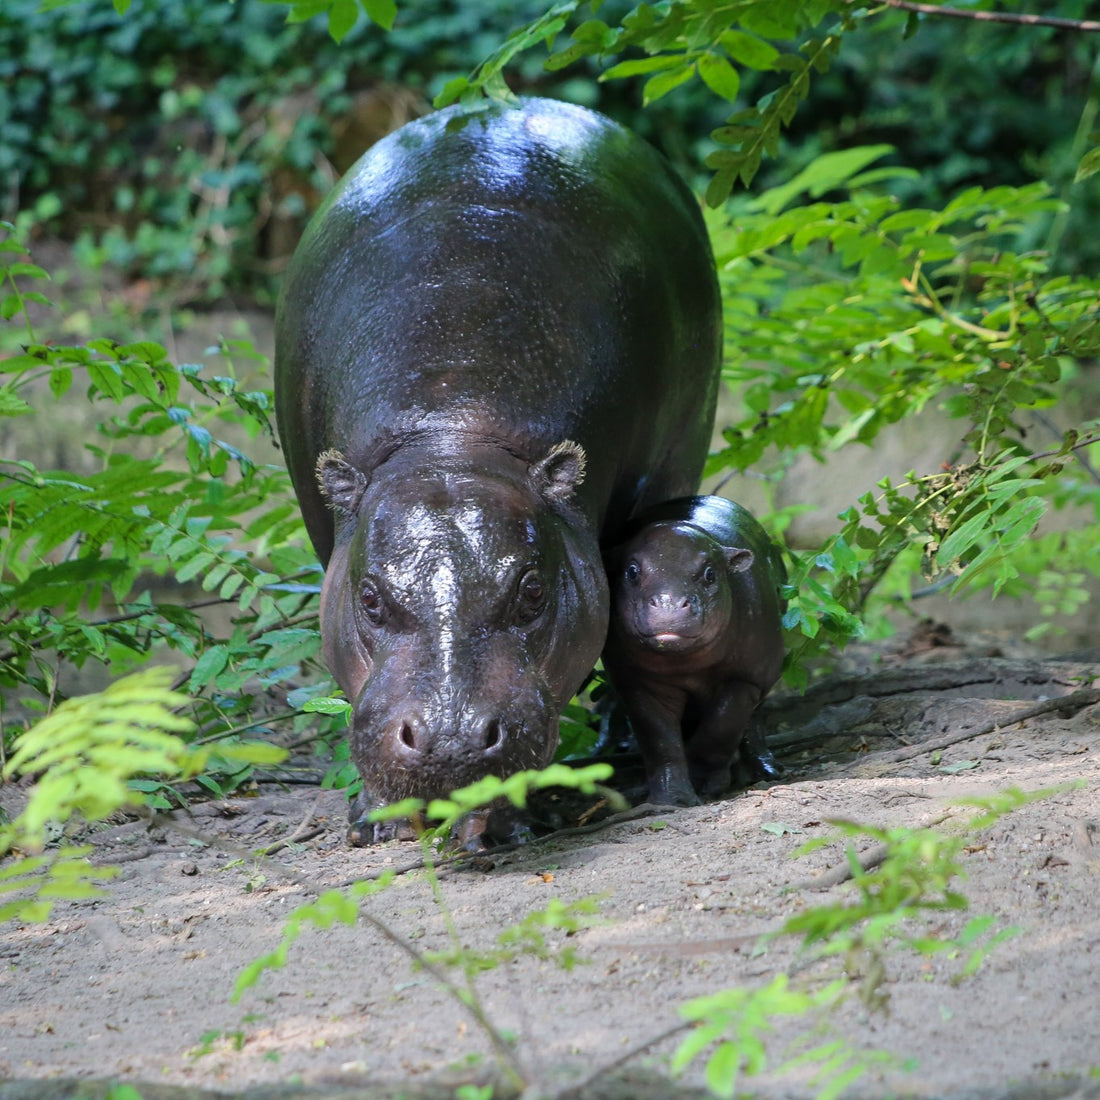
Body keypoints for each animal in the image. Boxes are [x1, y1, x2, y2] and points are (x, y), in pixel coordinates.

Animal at [274, 97, 721, 843]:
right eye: (369, 598)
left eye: (533, 592)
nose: (450, 740)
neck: (452, 431)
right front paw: (376, 822)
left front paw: (505, 826)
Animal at [603, 495, 786, 807]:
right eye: (631, 571)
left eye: (710, 574)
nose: (669, 603)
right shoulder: (639, 684)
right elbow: (660, 740)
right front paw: (672, 800)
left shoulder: (744, 679)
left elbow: (721, 726)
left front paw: (705, 783)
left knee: (753, 722)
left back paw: (767, 771)